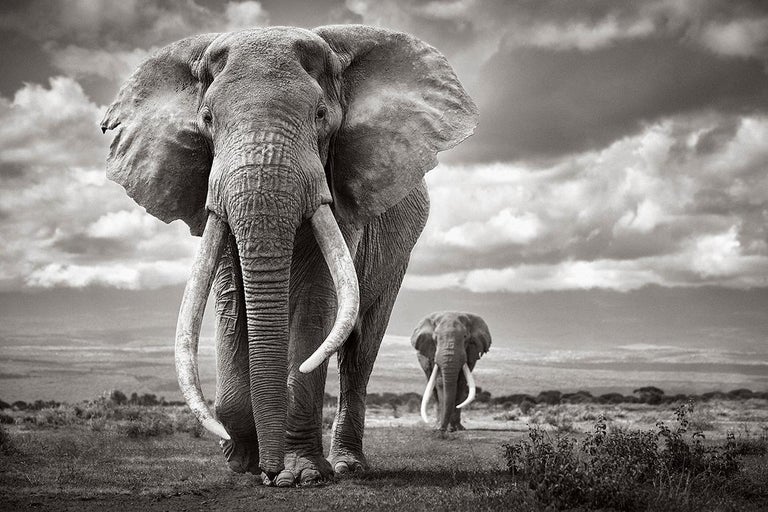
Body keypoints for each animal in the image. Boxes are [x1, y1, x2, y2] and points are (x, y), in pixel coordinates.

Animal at [101, 25, 477, 486]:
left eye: (320, 114)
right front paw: (245, 466)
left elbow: (315, 306)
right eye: (207, 120)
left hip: (397, 259)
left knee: (360, 353)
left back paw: (348, 466)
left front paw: (300, 476)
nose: (270, 470)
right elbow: (232, 304)